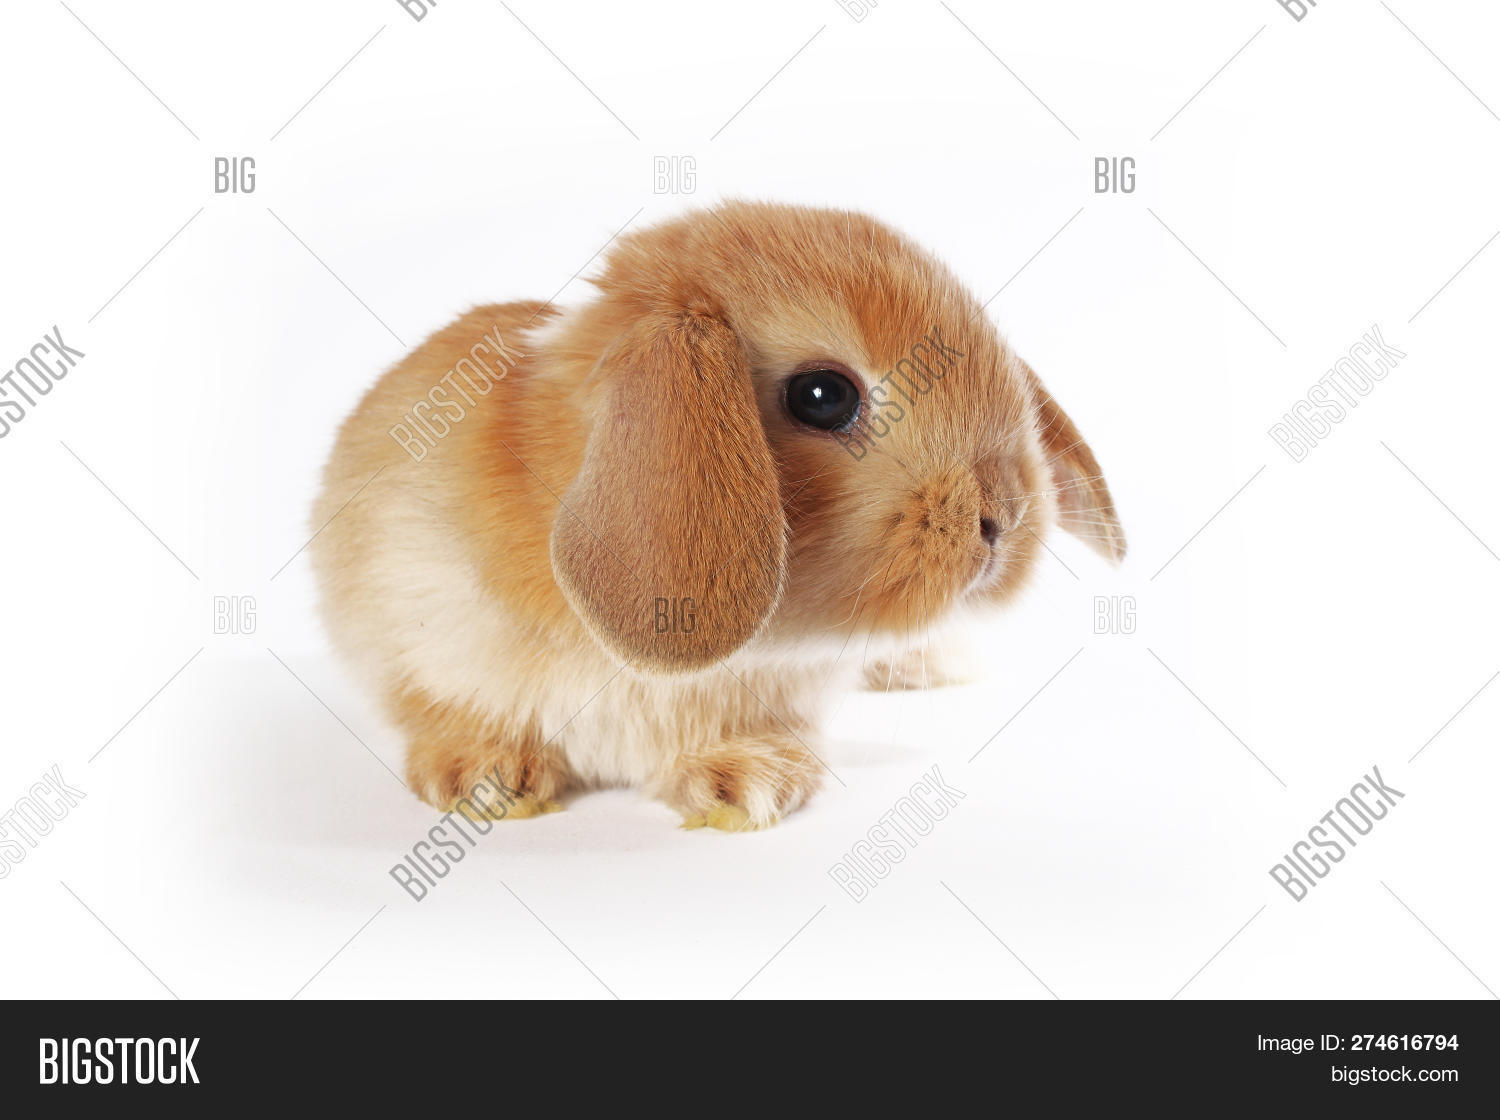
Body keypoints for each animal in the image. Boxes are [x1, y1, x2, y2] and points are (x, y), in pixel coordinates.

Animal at [310, 201, 1124, 831]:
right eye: (822, 396)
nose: (1004, 517)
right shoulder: (414, 639)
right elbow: (442, 711)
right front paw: (486, 781)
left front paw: (752, 781)